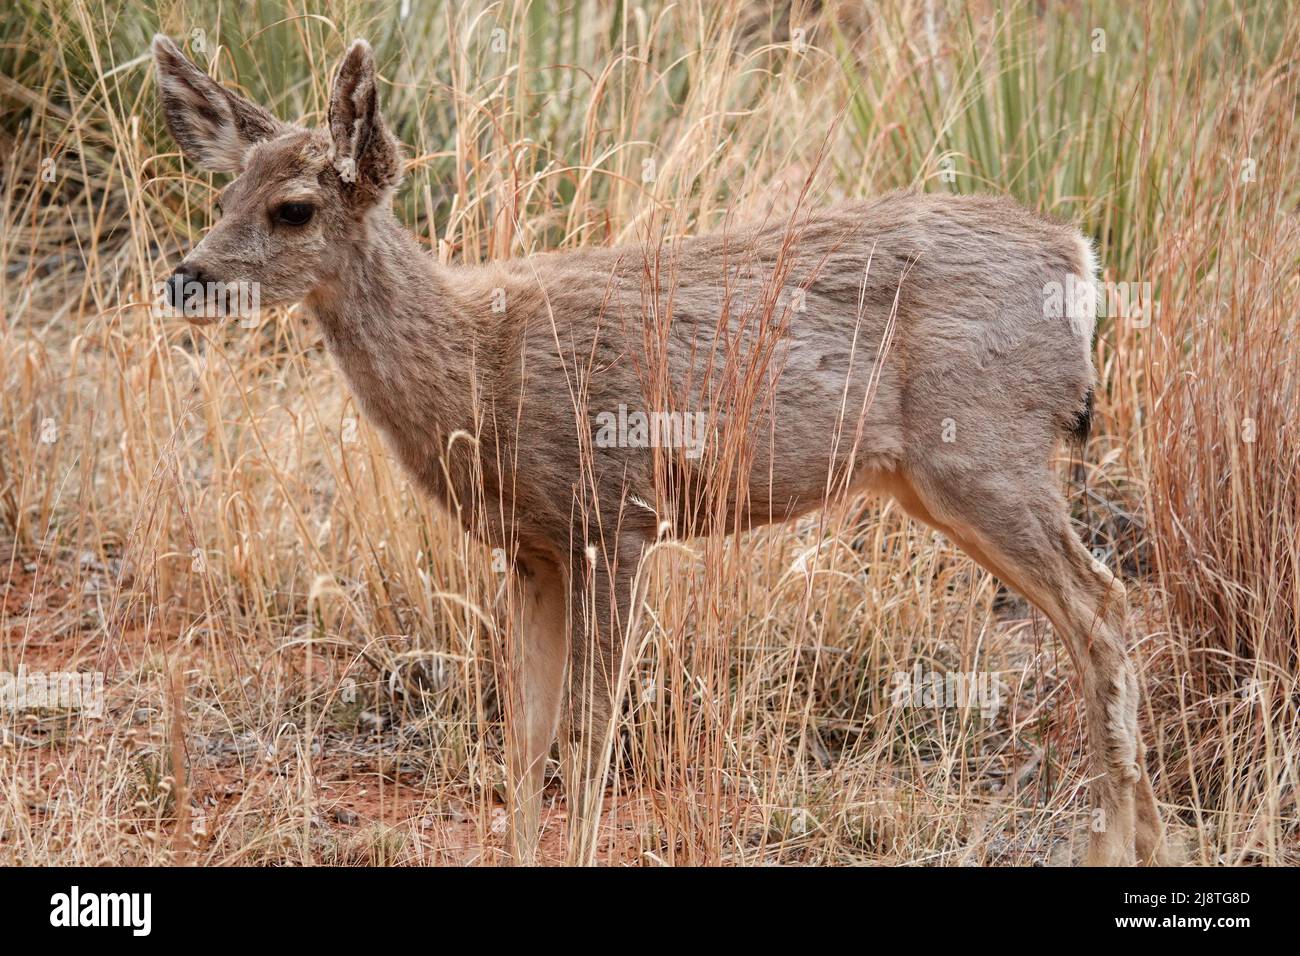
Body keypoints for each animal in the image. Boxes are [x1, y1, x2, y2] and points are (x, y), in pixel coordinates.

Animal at [151, 35, 1168, 866]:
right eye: (223, 193)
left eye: (292, 209)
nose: (184, 278)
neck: (479, 362)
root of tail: (1079, 259)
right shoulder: (533, 547)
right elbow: (524, 733)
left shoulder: (613, 519)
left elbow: (589, 731)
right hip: (944, 476)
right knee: (1092, 614)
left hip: (986, 453)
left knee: (1103, 605)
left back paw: (1121, 845)